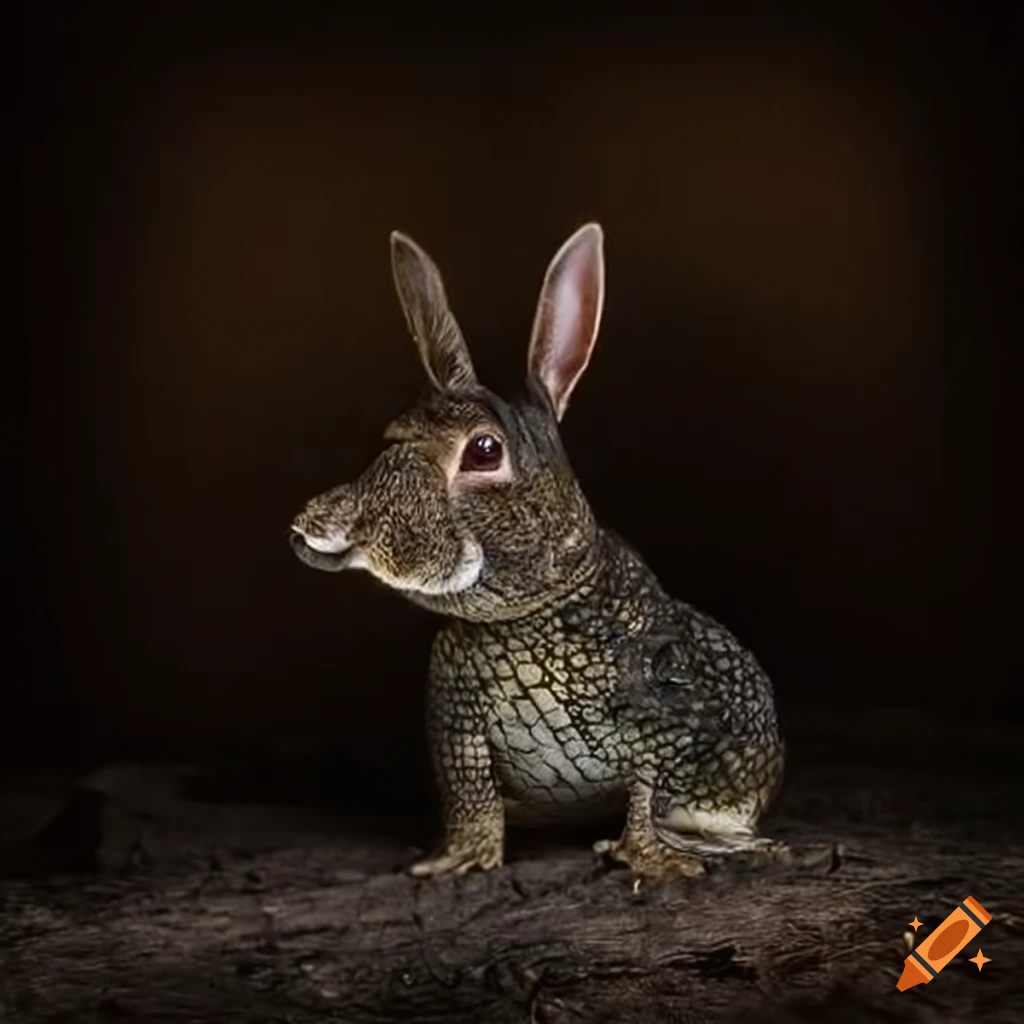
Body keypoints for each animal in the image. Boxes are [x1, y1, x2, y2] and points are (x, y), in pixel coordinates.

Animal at [291, 224, 805, 881]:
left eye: (484, 450)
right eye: (390, 437)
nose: (319, 529)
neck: (531, 611)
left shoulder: (669, 707)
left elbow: (647, 790)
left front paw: (653, 858)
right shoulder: (455, 718)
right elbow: (470, 790)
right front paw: (458, 857)